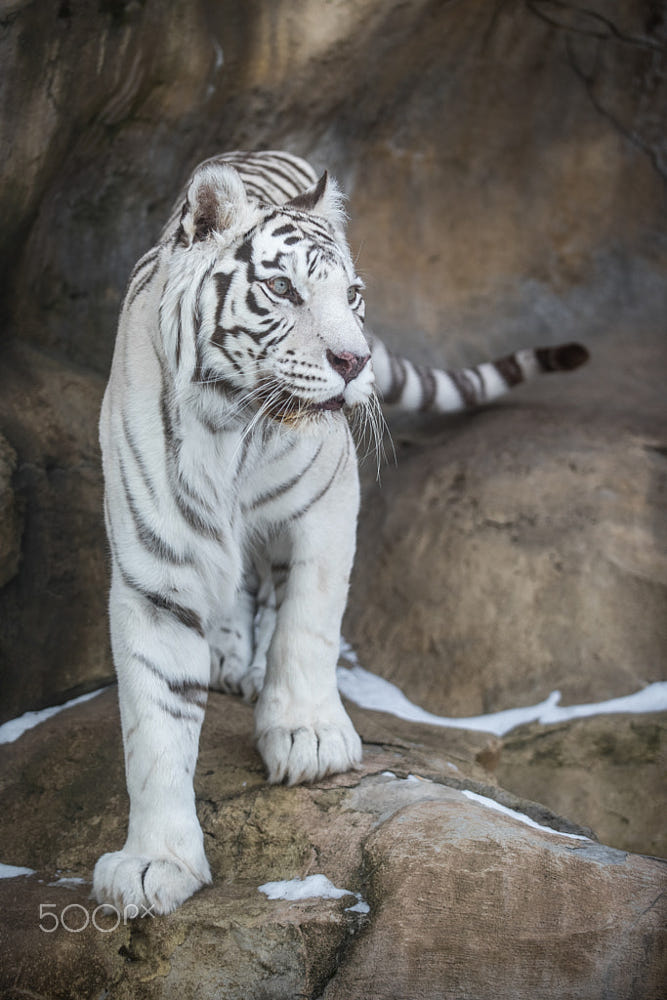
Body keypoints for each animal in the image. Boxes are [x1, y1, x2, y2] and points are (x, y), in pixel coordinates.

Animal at [92, 150, 588, 915]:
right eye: (280, 288)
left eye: (352, 296)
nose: (355, 363)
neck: (232, 426)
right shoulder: (155, 566)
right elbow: (155, 723)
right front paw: (154, 863)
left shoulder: (324, 507)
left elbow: (308, 625)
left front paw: (308, 737)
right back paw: (228, 656)